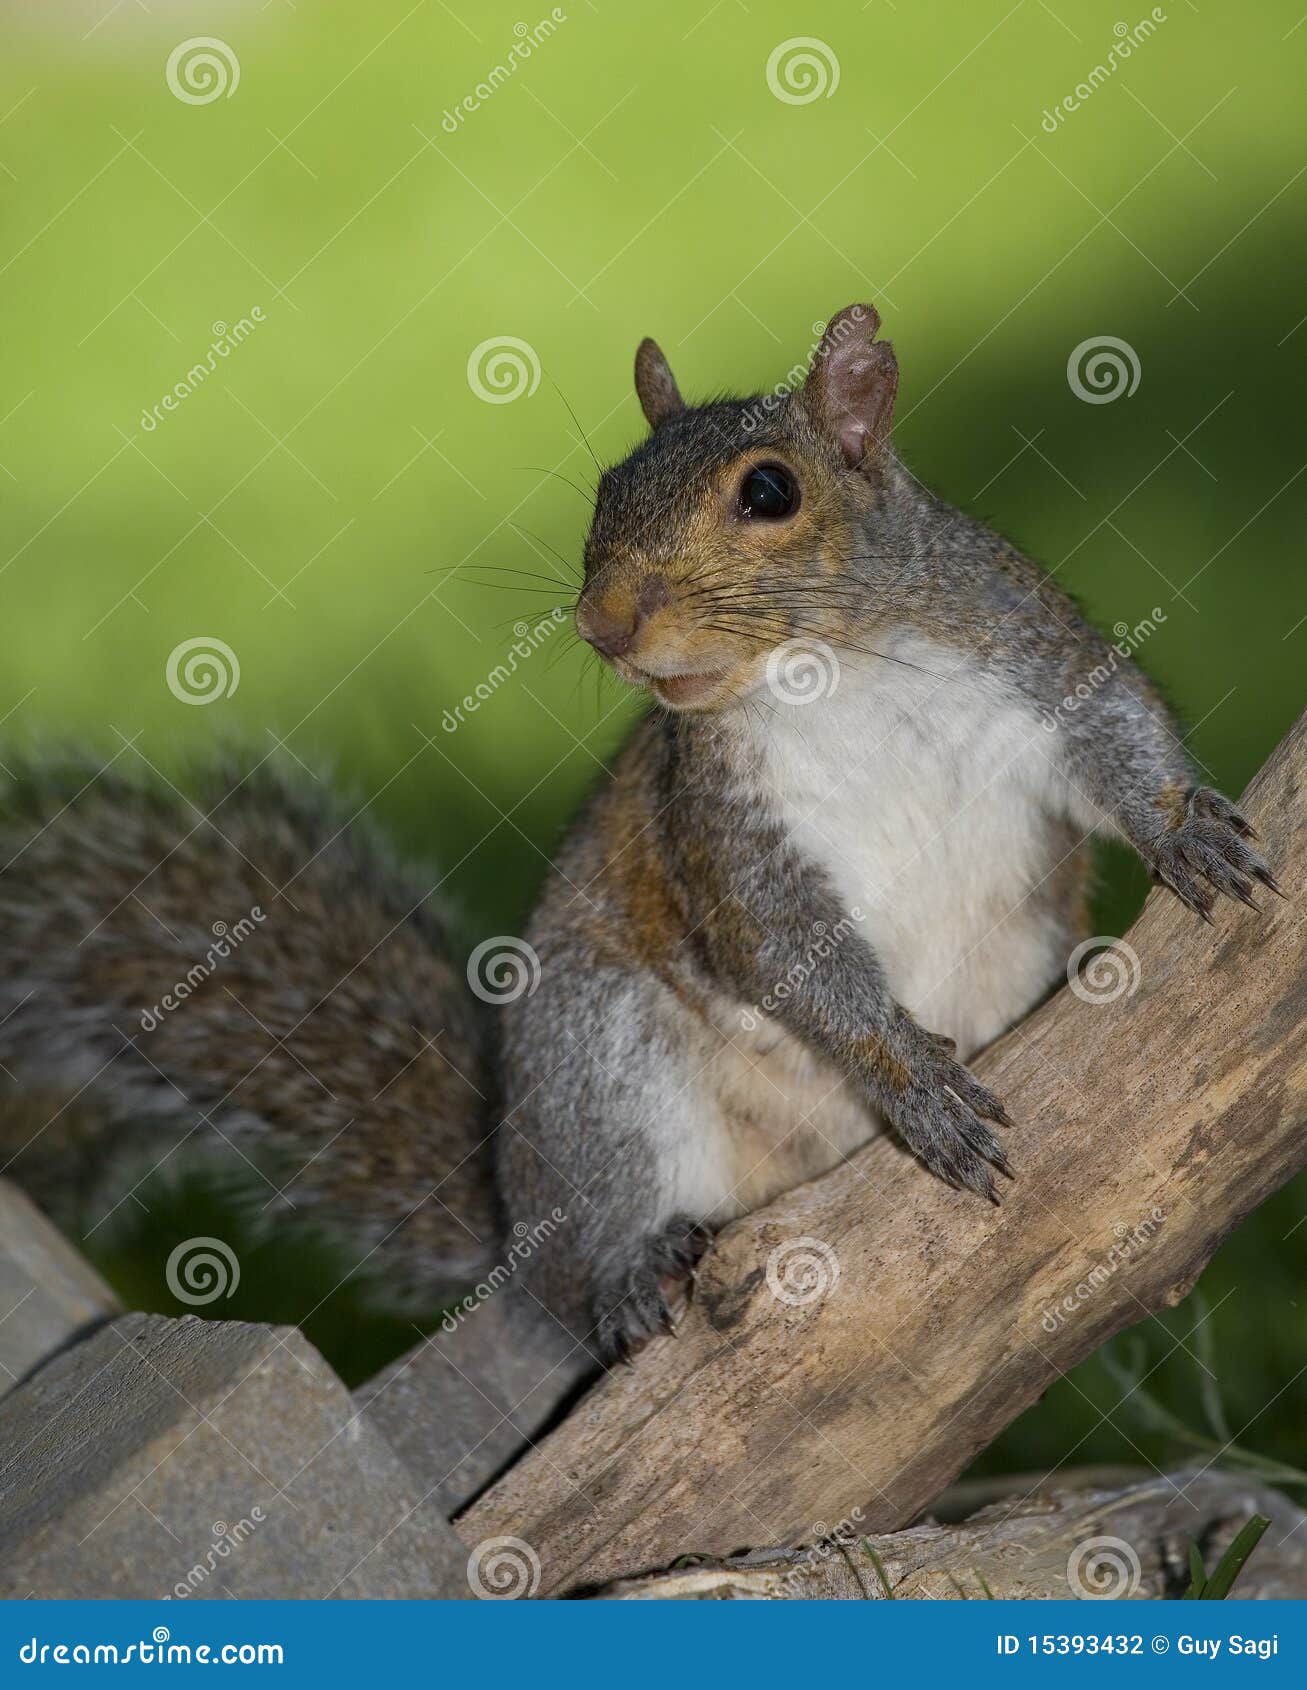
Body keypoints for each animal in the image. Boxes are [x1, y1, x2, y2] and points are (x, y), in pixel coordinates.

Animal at [0, 304, 1276, 1364]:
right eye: (603, 496)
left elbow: (1113, 730)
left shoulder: (1026, 655)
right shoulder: (716, 823)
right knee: (595, 1240)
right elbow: (784, 949)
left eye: (769, 492)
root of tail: (515, 1230)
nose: (600, 621)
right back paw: (630, 1266)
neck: (831, 675)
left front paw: (1183, 833)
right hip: (596, 1058)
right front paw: (909, 1080)